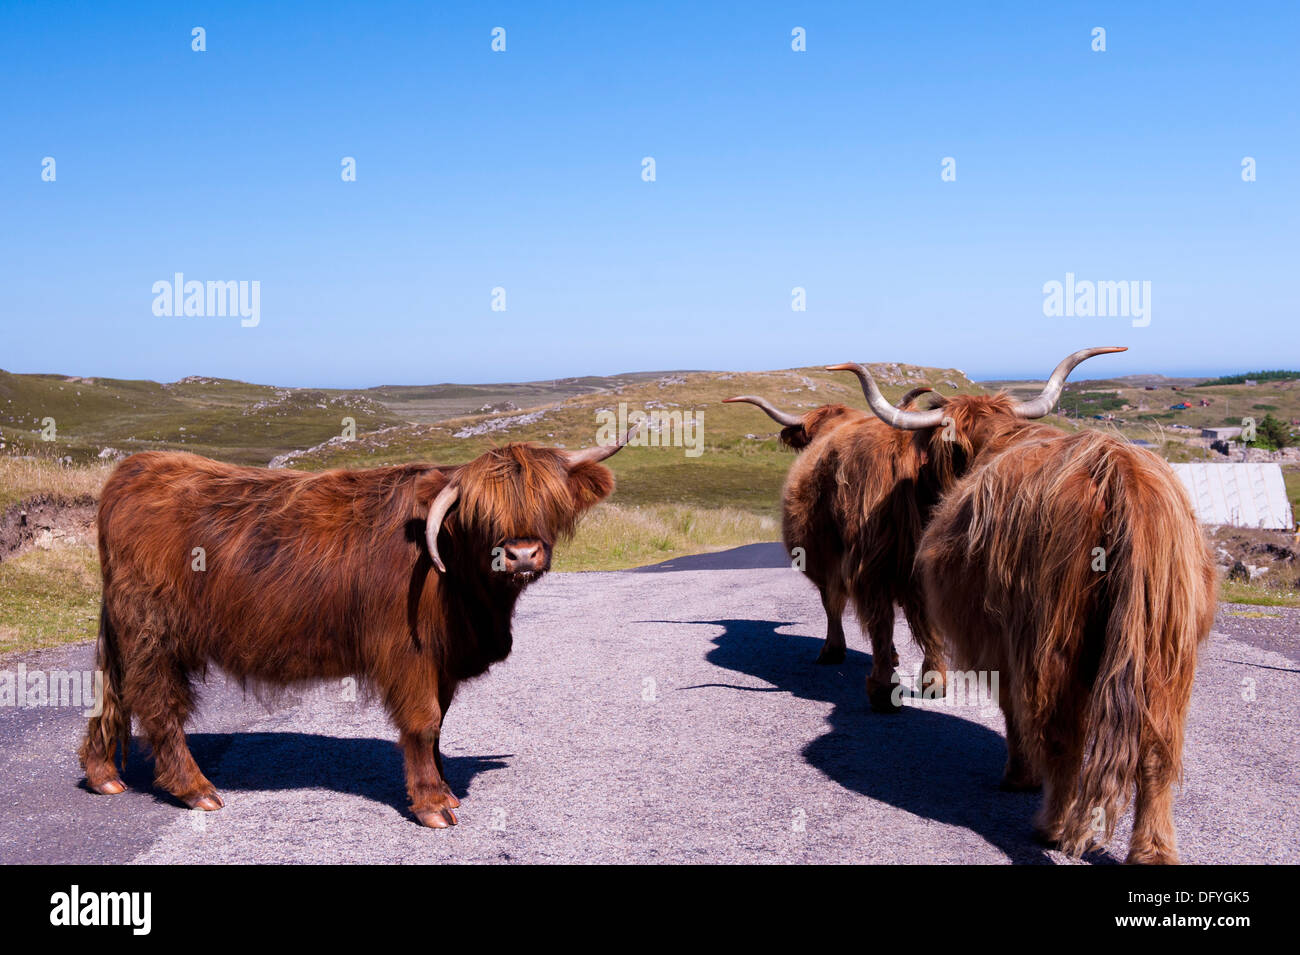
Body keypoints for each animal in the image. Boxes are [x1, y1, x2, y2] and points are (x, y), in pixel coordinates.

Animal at [79, 432, 634, 828]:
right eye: (481, 514)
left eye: (550, 503)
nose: (520, 554)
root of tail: (134, 469)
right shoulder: (409, 653)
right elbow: (423, 721)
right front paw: (432, 804)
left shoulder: (444, 660)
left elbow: (439, 723)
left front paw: (444, 788)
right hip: (153, 633)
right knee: (157, 704)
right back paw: (196, 790)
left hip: (131, 632)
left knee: (115, 695)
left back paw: (103, 775)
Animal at [722, 386, 947, 711]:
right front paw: (893, 655)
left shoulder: (826, 565)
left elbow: (832, 605)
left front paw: (832, 650)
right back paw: (934, 681)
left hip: (869, 561)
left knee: (879, 616)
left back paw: (883, 691)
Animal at [833, 348, 1217, 863]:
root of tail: (1112, 469)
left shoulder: (998, 644)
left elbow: (1013, 711)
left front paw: (1019, 776)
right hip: (1168, 649)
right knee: (1158, 748)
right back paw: (1152, 851)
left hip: (1051, 643)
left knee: (1062, 732)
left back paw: (1051, 826)